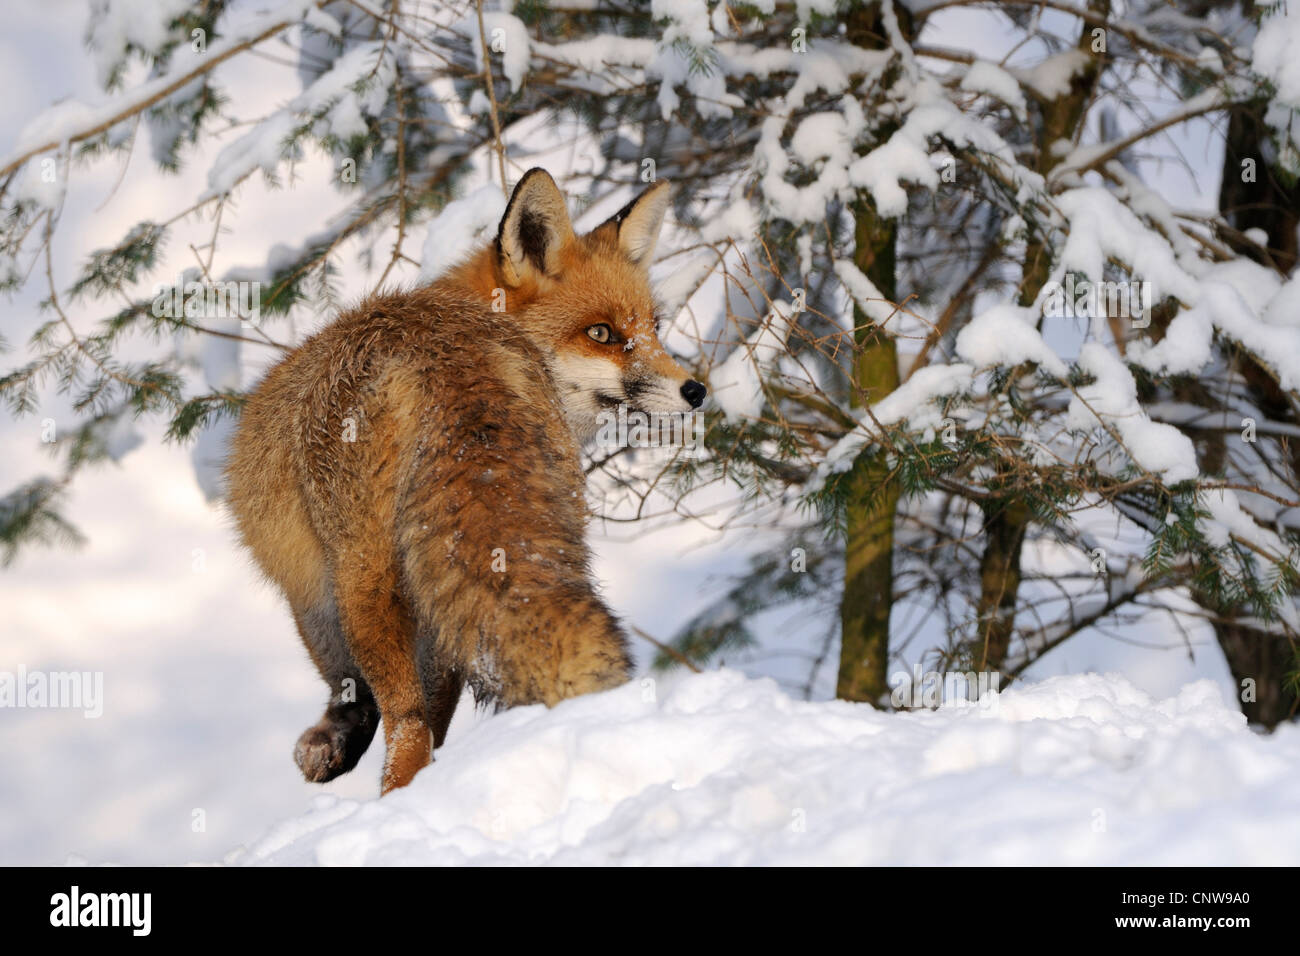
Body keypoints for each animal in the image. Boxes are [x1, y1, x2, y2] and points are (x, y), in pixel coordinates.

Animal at [225, 169, 706, 793]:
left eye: (653, 328)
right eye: (602, 333)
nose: (697, 390)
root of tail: (446, 355)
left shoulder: (308, 588)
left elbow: (354, 690)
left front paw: (335, 742)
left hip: (360, 577)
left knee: (407, 723)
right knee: (433, 714)